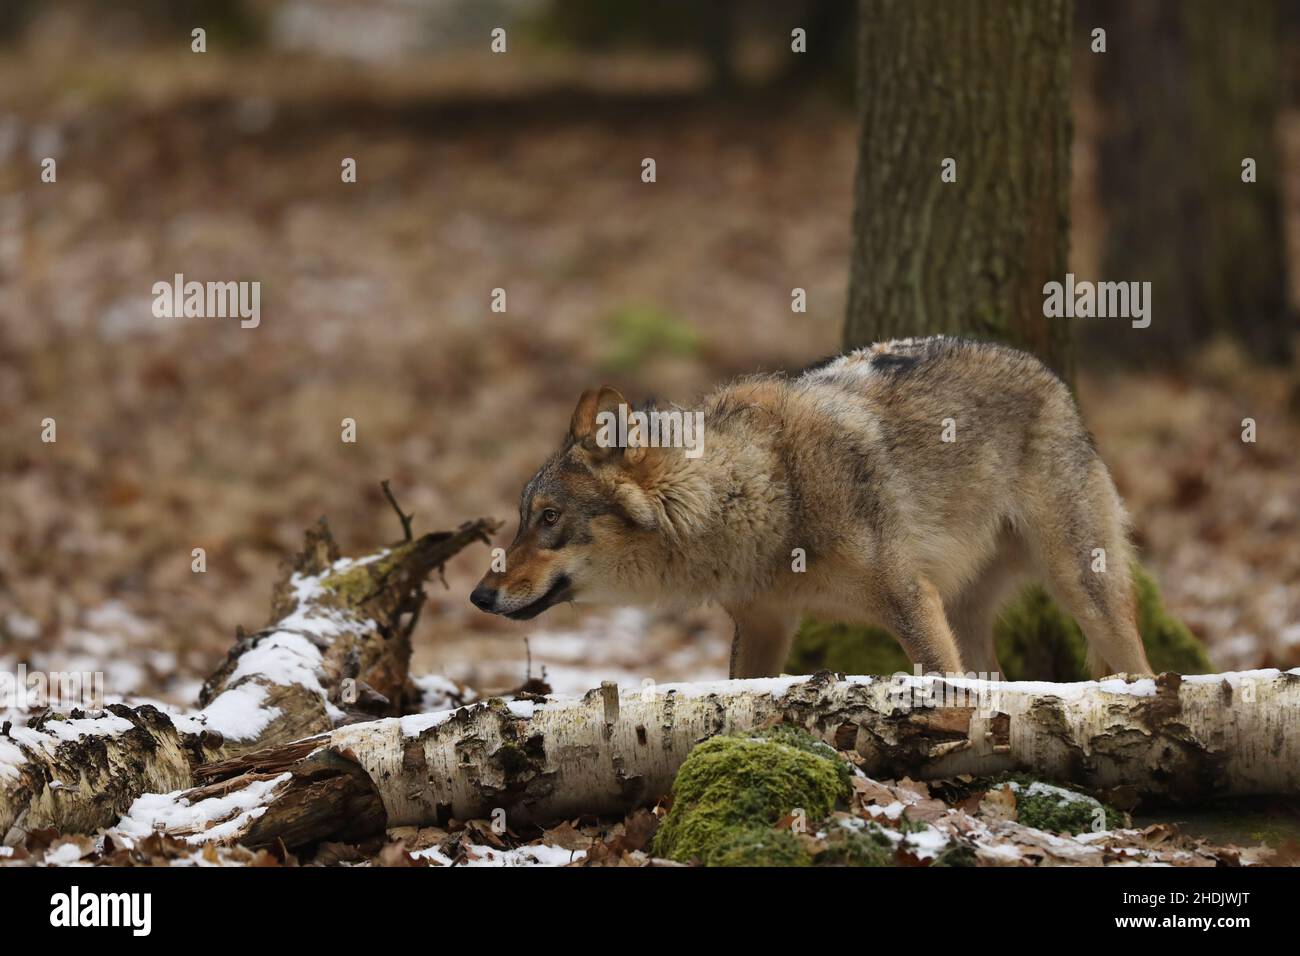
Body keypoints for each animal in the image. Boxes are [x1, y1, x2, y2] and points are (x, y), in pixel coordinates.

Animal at [470, 336, 1152, 680]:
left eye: (549, 518)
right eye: (523, 517)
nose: (478, 596)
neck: (762, 492)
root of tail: (1048, 373)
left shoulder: (911, 605)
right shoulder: (765, 624)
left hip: (1081, 587)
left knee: (1137, 672)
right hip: (968, 610)